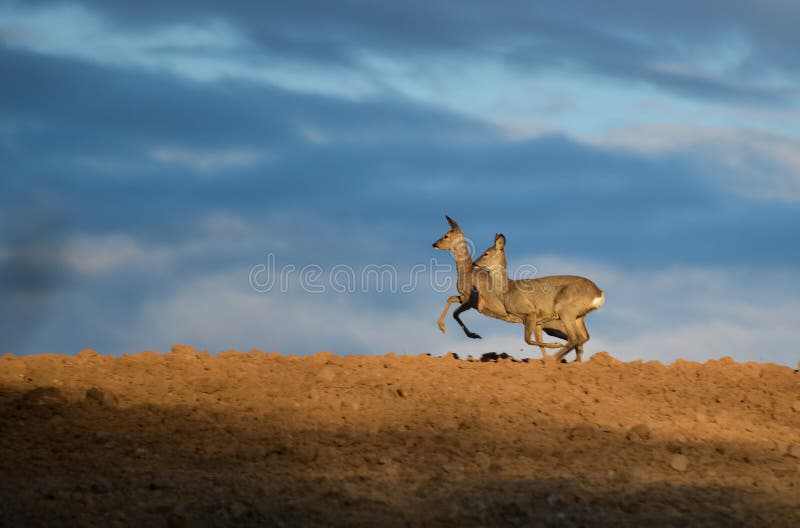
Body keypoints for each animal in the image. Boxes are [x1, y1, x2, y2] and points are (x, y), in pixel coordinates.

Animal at [432, 216, 567, 352]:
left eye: (446, 235)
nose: (434, 244)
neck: (466, 271)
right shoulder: (465, 299)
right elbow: (450, 300)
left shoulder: (470, 300)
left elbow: (455, 312)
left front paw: (452, 330)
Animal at [473, 234, 604, 363]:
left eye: (486, 253)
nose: (474, 263)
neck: (507, 291)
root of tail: (598, 293)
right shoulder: (536, 320)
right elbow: (535, 341)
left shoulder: (530, 312)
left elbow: (527, 340)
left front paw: (555, 345)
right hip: (578, 316)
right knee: (584, 337)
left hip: (565, 309)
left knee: (574, 338)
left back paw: (554, 359)